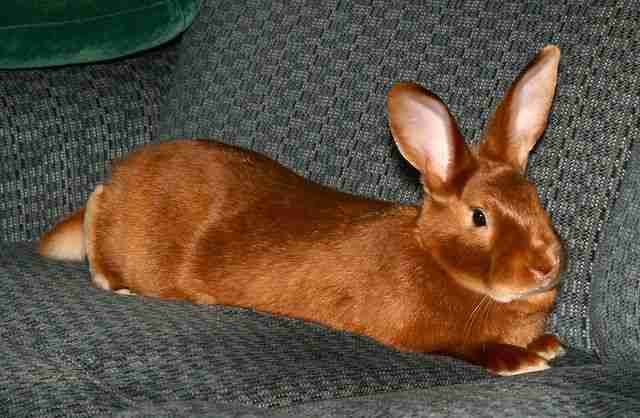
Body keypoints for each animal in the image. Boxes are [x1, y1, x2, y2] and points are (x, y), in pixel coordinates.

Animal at [40, 45, 565, 376]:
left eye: (535, 198)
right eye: (479, 217)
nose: (547, 265)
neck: (439, 259)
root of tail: (119, 176)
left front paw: (547, 345)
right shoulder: (422, 333)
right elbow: (463, 345)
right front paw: (522, 360)